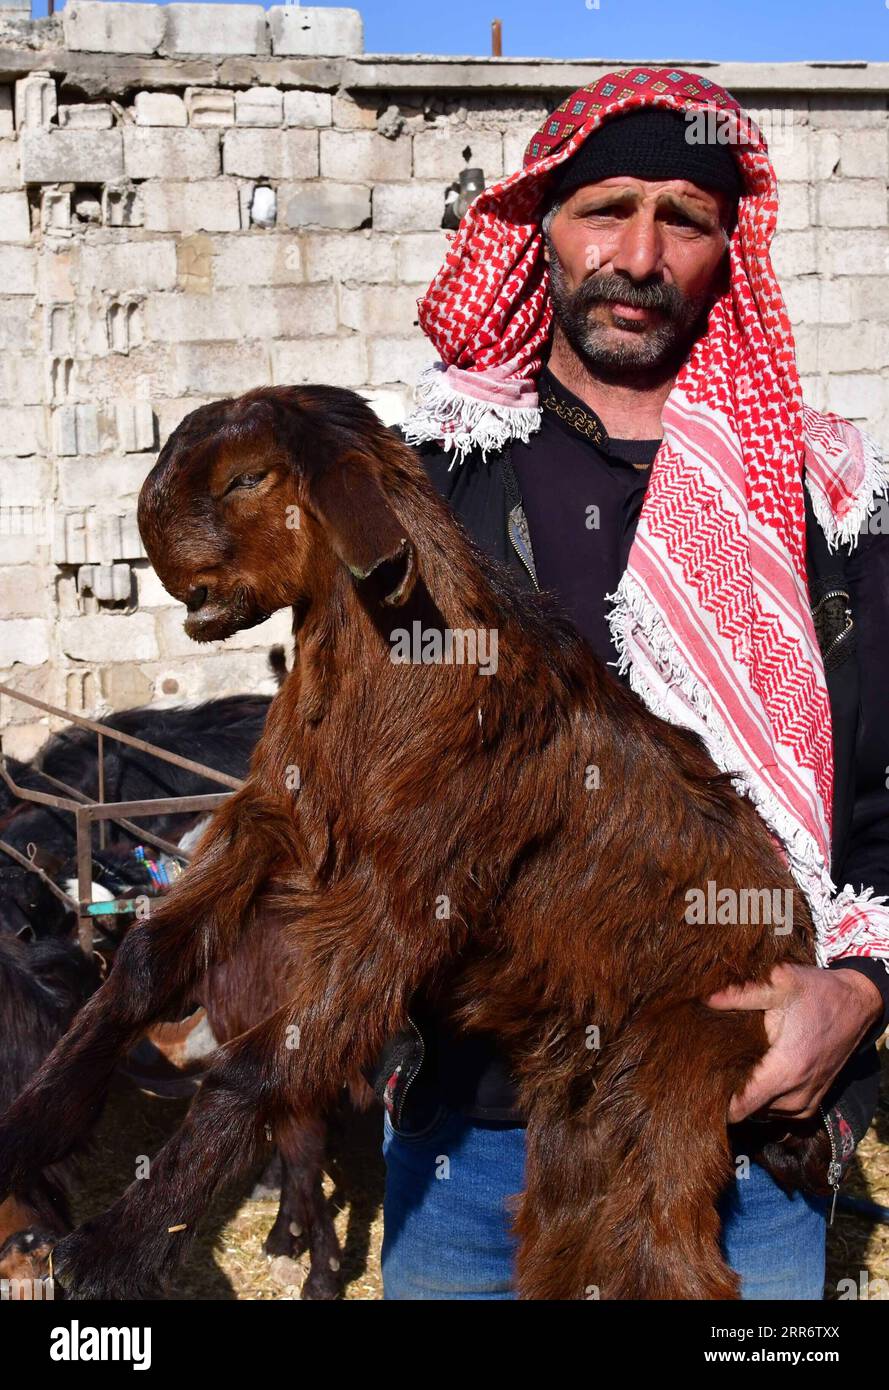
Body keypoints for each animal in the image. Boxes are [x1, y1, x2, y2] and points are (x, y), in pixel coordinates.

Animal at [0, 384, 823, 1300]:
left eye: (249, 477)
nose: (161, 553)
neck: (397, 678)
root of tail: (786, 934)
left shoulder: (403, 895)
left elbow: (256, 1066)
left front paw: (109, 1251)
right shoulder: (278, 822)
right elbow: (144, 962)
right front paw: (31, 1129)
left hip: (677, 1062)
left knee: (662, 1250)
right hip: (581, 1109)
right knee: (572, 1231)